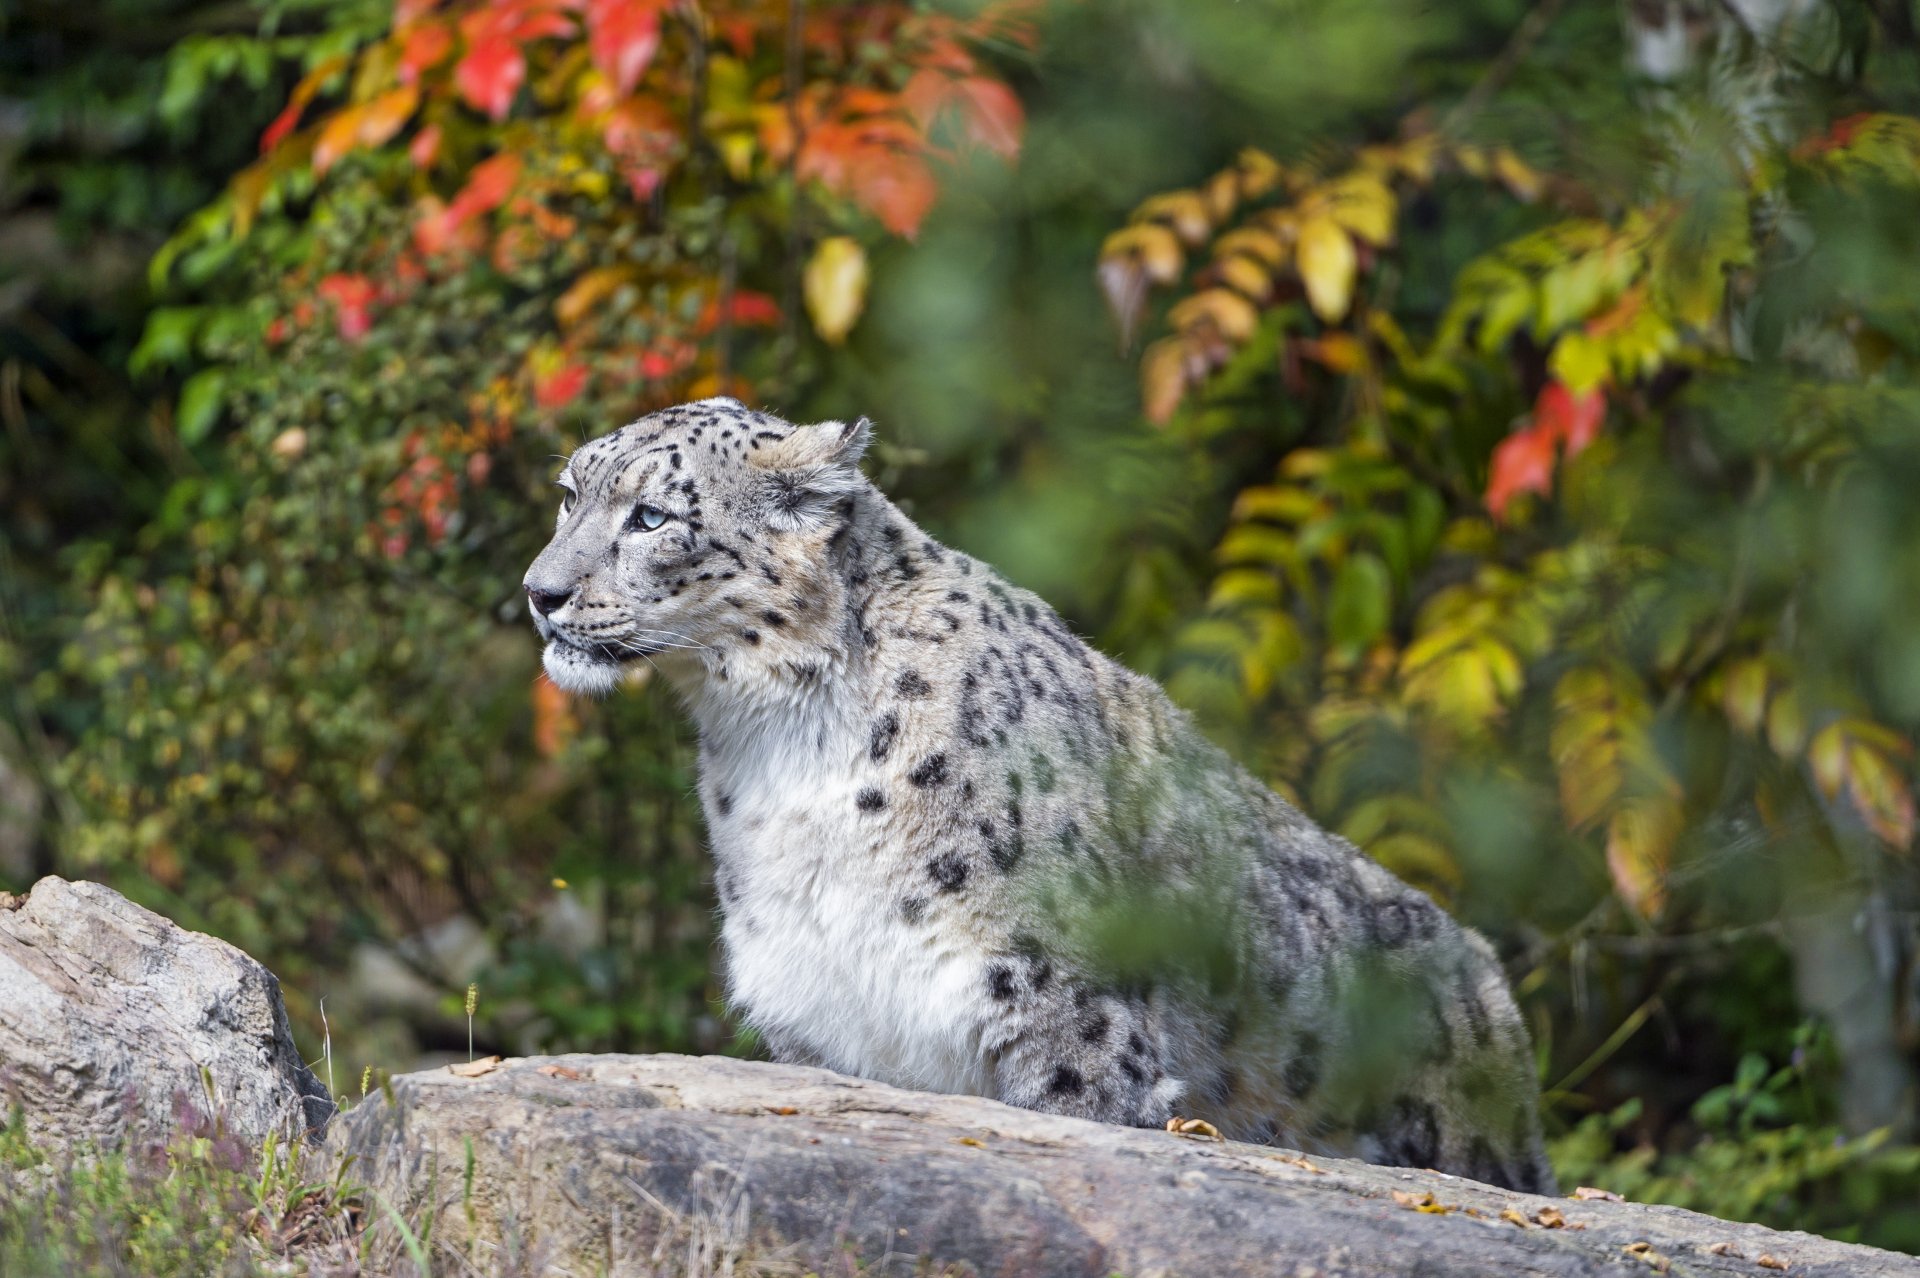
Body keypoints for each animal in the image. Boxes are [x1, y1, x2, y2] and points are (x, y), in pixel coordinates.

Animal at [523, 397, 1555, 1193]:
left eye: (652, 516)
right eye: (570, 494)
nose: (539, 592)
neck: (781, 753)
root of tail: (1490, 984)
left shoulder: (1066, 1021)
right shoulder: (822, 1025)